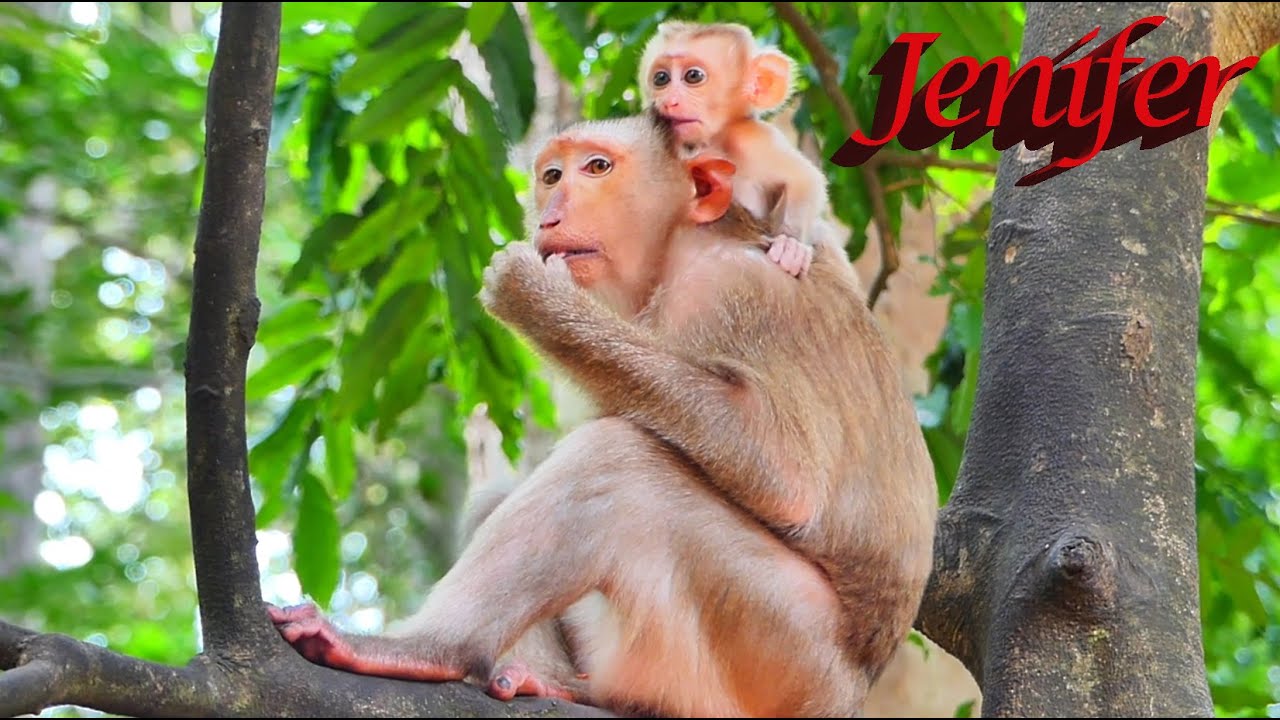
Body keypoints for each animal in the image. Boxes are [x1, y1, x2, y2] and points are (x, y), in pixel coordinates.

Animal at [269, 111, 937, 717]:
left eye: (597, 168)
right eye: (551, 175)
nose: (550, 215)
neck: (680, 248)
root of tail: (850, 692)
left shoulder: (737, 294)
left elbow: (788, 473)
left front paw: (534, 296)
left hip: (769, 654)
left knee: (618, 464)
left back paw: (434, 650)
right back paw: (549, 681)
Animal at [639, 20, 833, 279]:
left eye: (693, 76)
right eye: (661, 78)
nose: (669, 101)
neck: (713, 140)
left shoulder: (752, 138)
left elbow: (805, 180)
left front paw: (791, 245)